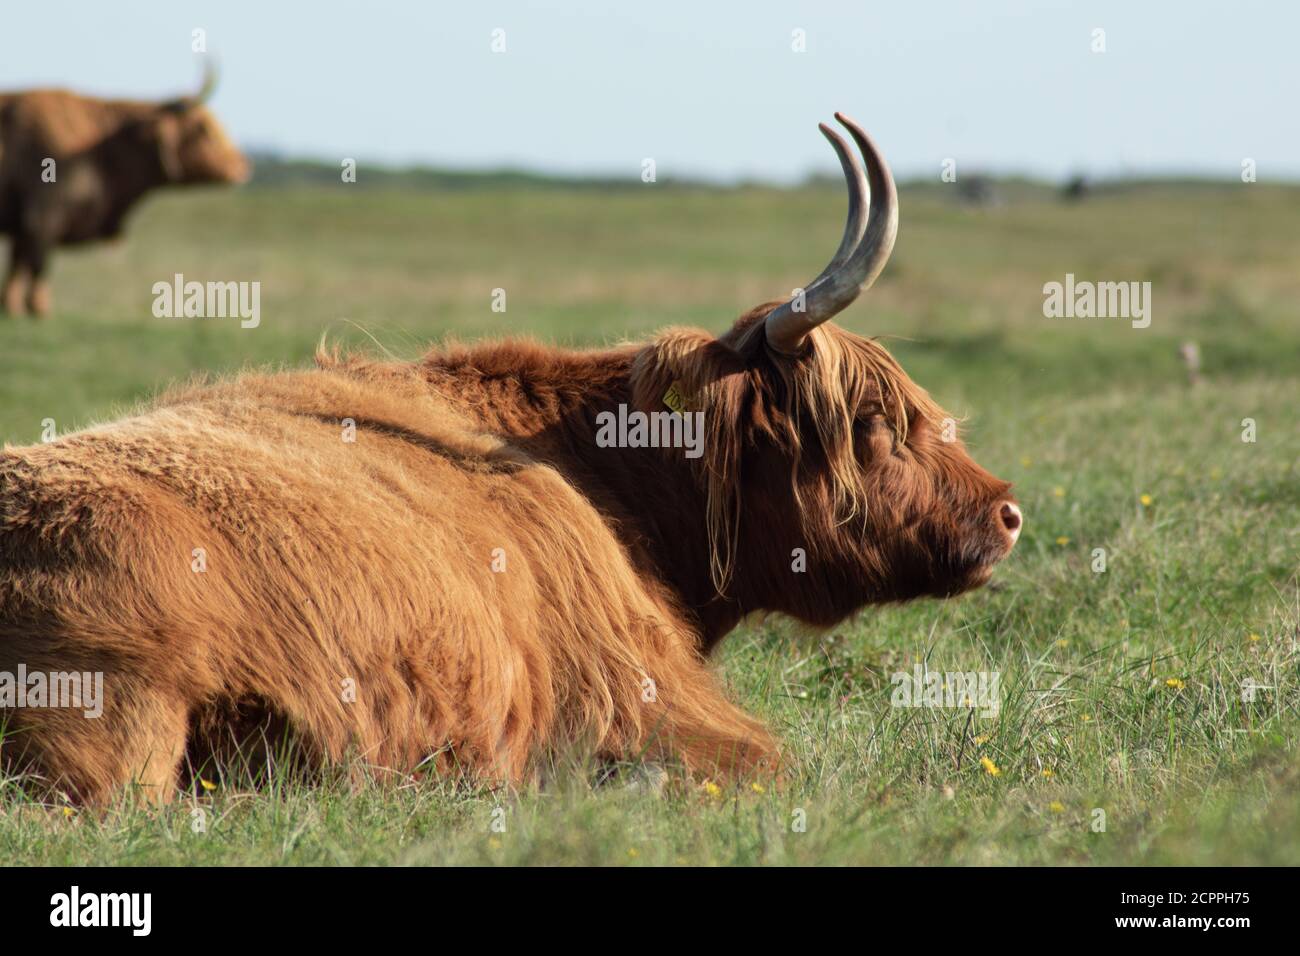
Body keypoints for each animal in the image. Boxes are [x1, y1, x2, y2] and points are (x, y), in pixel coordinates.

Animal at [0, 65, 249, 317]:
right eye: (204, 128)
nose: (241, 166)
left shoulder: (24, 226)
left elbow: (17, 267)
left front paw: (12, 308)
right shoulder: (42, 217)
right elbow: (37, 265)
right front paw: (38, 309)